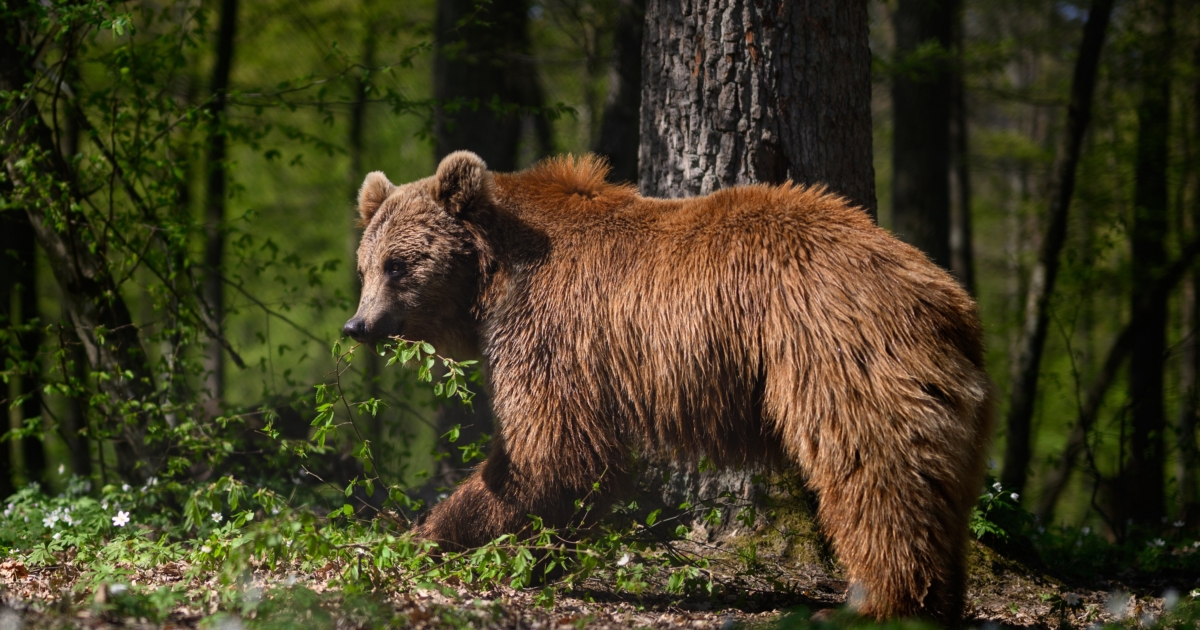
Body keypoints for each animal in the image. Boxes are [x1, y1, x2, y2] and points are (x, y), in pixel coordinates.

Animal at [342, 151, 992, 624]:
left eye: (399, 264)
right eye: (365, 265)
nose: (358, 325)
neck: (495, 276)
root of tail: (945, 296)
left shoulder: (551, 327)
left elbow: (549, 450)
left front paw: (433, 535)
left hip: (832, 351)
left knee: (875, 469)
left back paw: (879, 602)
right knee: (936, 481)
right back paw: (938, 599)